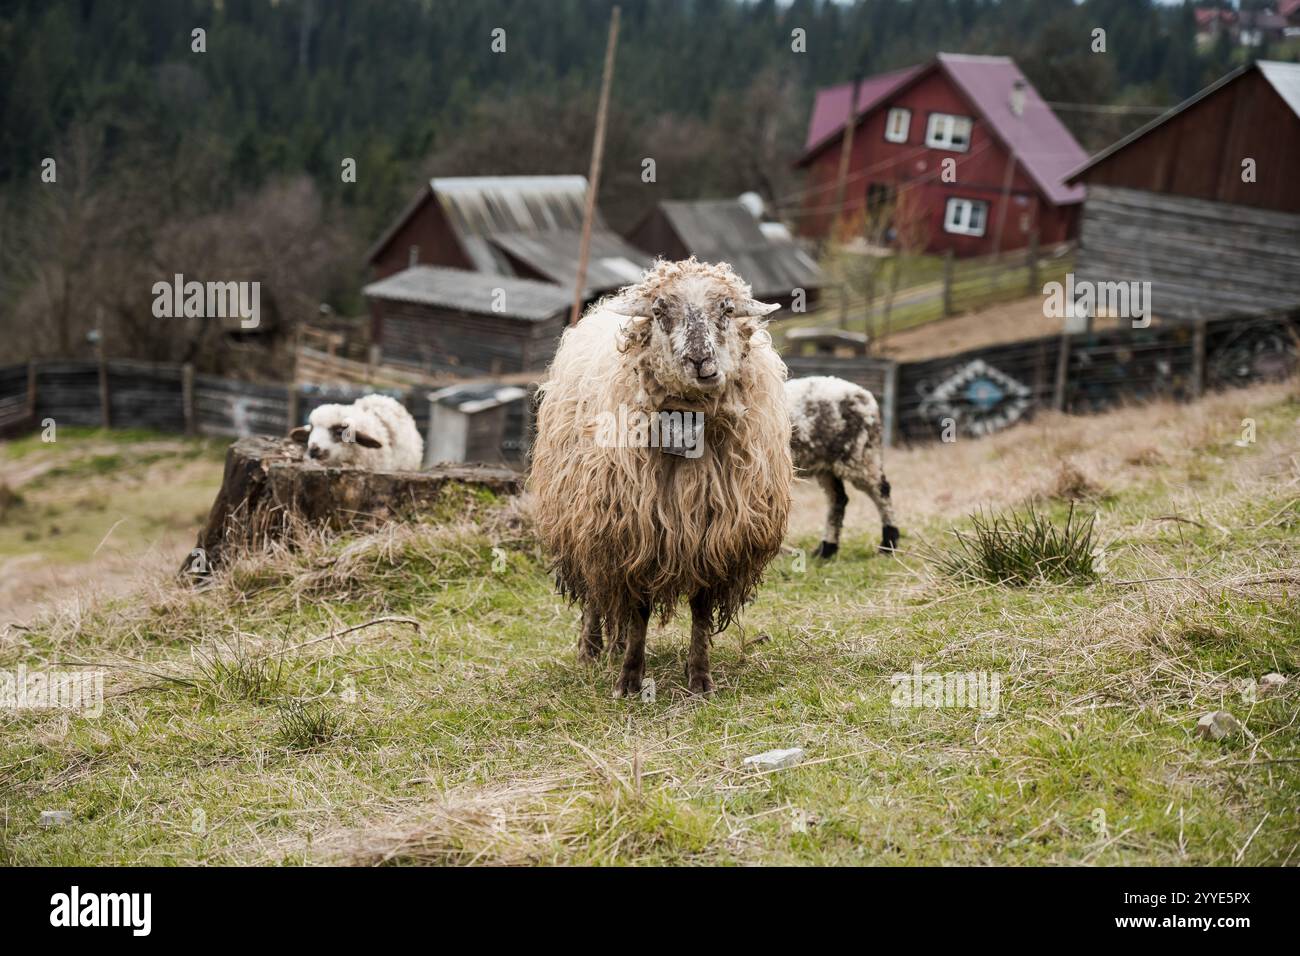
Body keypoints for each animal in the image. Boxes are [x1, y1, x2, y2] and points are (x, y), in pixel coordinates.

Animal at [529, 258, 793, 697]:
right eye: (659, 311)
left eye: (726, 308)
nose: (700, 360)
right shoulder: (634, 531)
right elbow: (638, 611)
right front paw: (630, 680)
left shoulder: (714, 535)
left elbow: (700, 612)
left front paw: (700, 678)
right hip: (584, 525)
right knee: (596, 595)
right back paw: (591, 649)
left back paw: (614, 645)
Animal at [786, 375, 899, 558]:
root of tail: (864, 393)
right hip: (827, 466)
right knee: (838, 499)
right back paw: (826, 549)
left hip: (860, 454)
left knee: (881, 491)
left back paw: (888, 544)